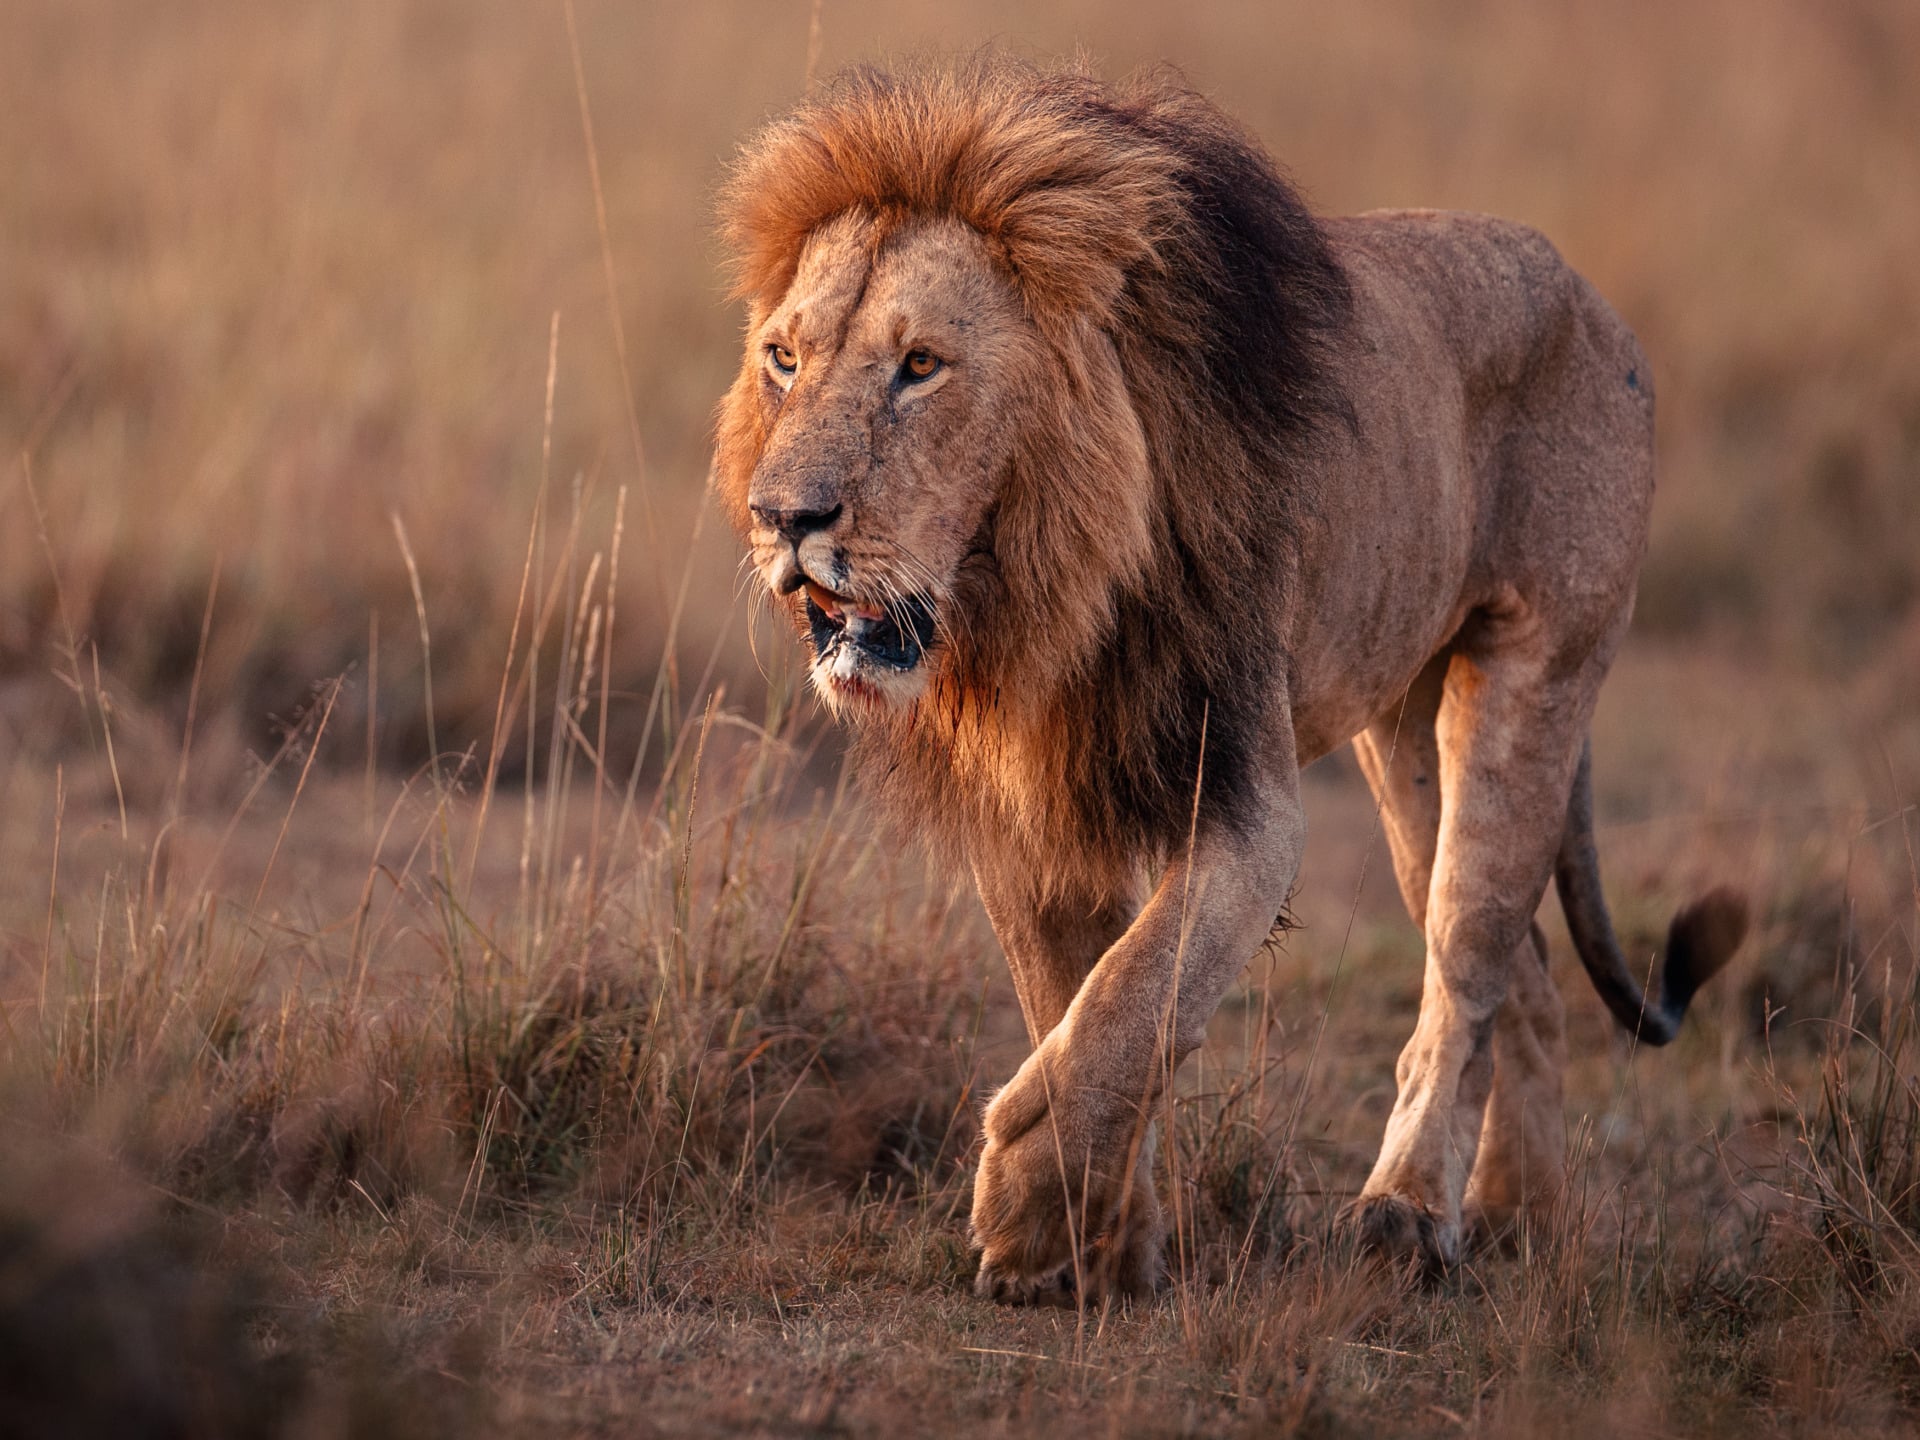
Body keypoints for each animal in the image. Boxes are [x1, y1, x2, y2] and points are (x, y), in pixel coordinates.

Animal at [712, 56, 1748, 1301]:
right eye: (784, 359)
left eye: (920, 367)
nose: (782, 519)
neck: (1045, 598)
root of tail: (1589, 296)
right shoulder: (1033, 811)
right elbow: (1078, 1006)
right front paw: (1103, 1243)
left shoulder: (1248, 805)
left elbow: (1129, 1001)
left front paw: (1025, 1216)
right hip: (1403, 737)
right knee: (1527, 976)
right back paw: (1515, 1216)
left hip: (1536, 678)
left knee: (1468, 958)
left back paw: (1409, 1213)